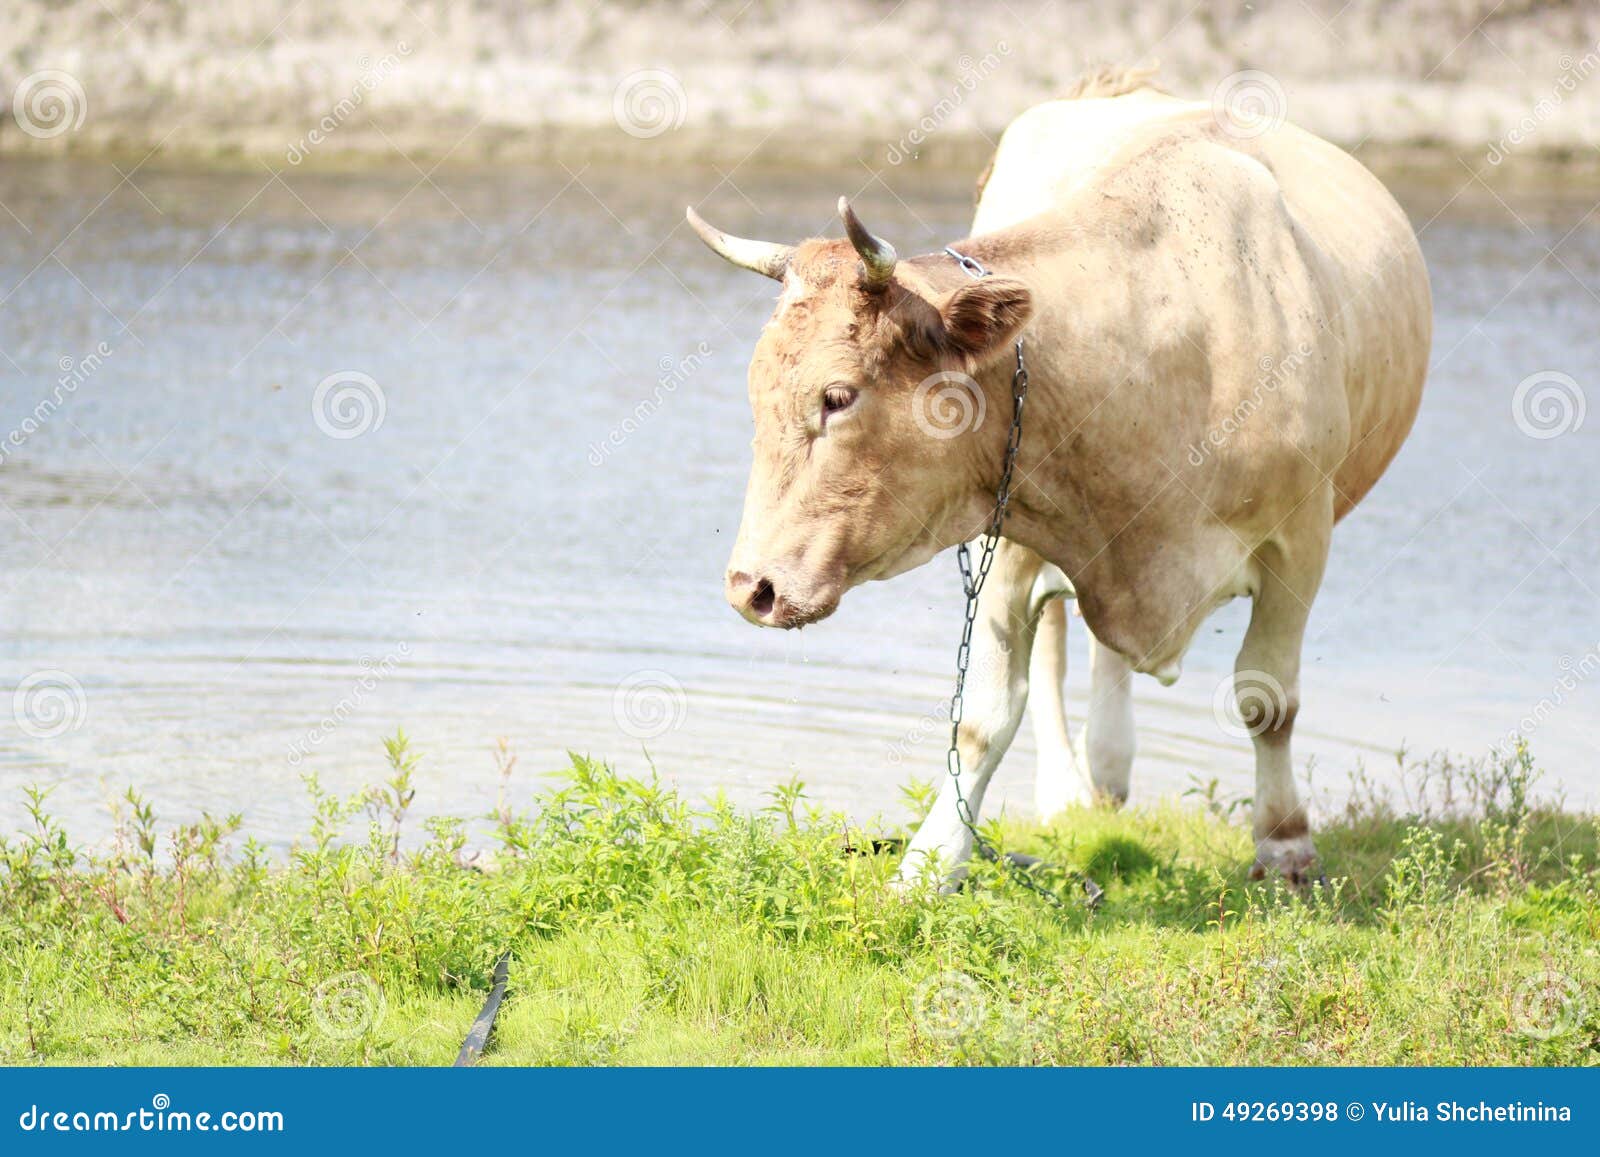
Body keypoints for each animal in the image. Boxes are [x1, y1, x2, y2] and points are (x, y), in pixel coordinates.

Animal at [687, 69, 1431, 887]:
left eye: (838, 396)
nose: (751, 587)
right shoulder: (1008, 528)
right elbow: (984, 716)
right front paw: (930, 863)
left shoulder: (1300, 540)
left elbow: (1268, 698)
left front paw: (1287, 846)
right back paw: (1075, 786)